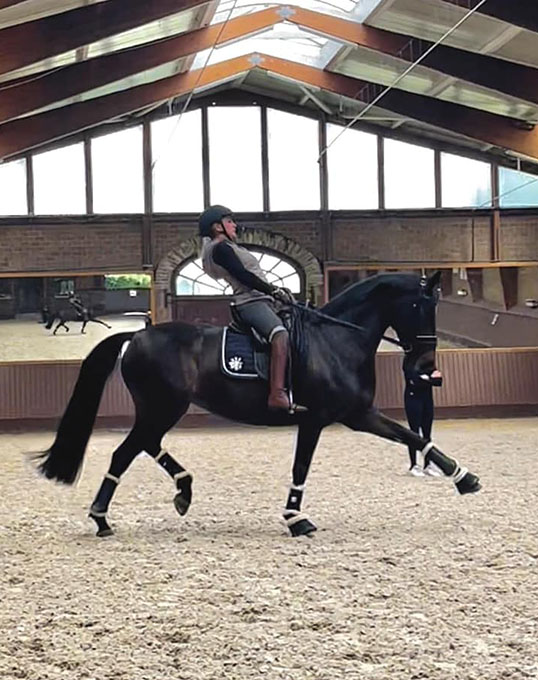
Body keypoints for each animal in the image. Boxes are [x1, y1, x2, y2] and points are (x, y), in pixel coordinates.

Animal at [35, 272, 481, 538]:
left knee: (144, 446)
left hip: (160, 410)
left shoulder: (357, 414)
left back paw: (182, 491)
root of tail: (137, 336)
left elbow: (411, 435)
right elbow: (301, 467)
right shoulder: (317, 419)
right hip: (163, 408)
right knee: (126, 452)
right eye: (420, 306)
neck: (335, 340)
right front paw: (296, 519)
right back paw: (102, 517)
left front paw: (465, 478)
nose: (425, 367)